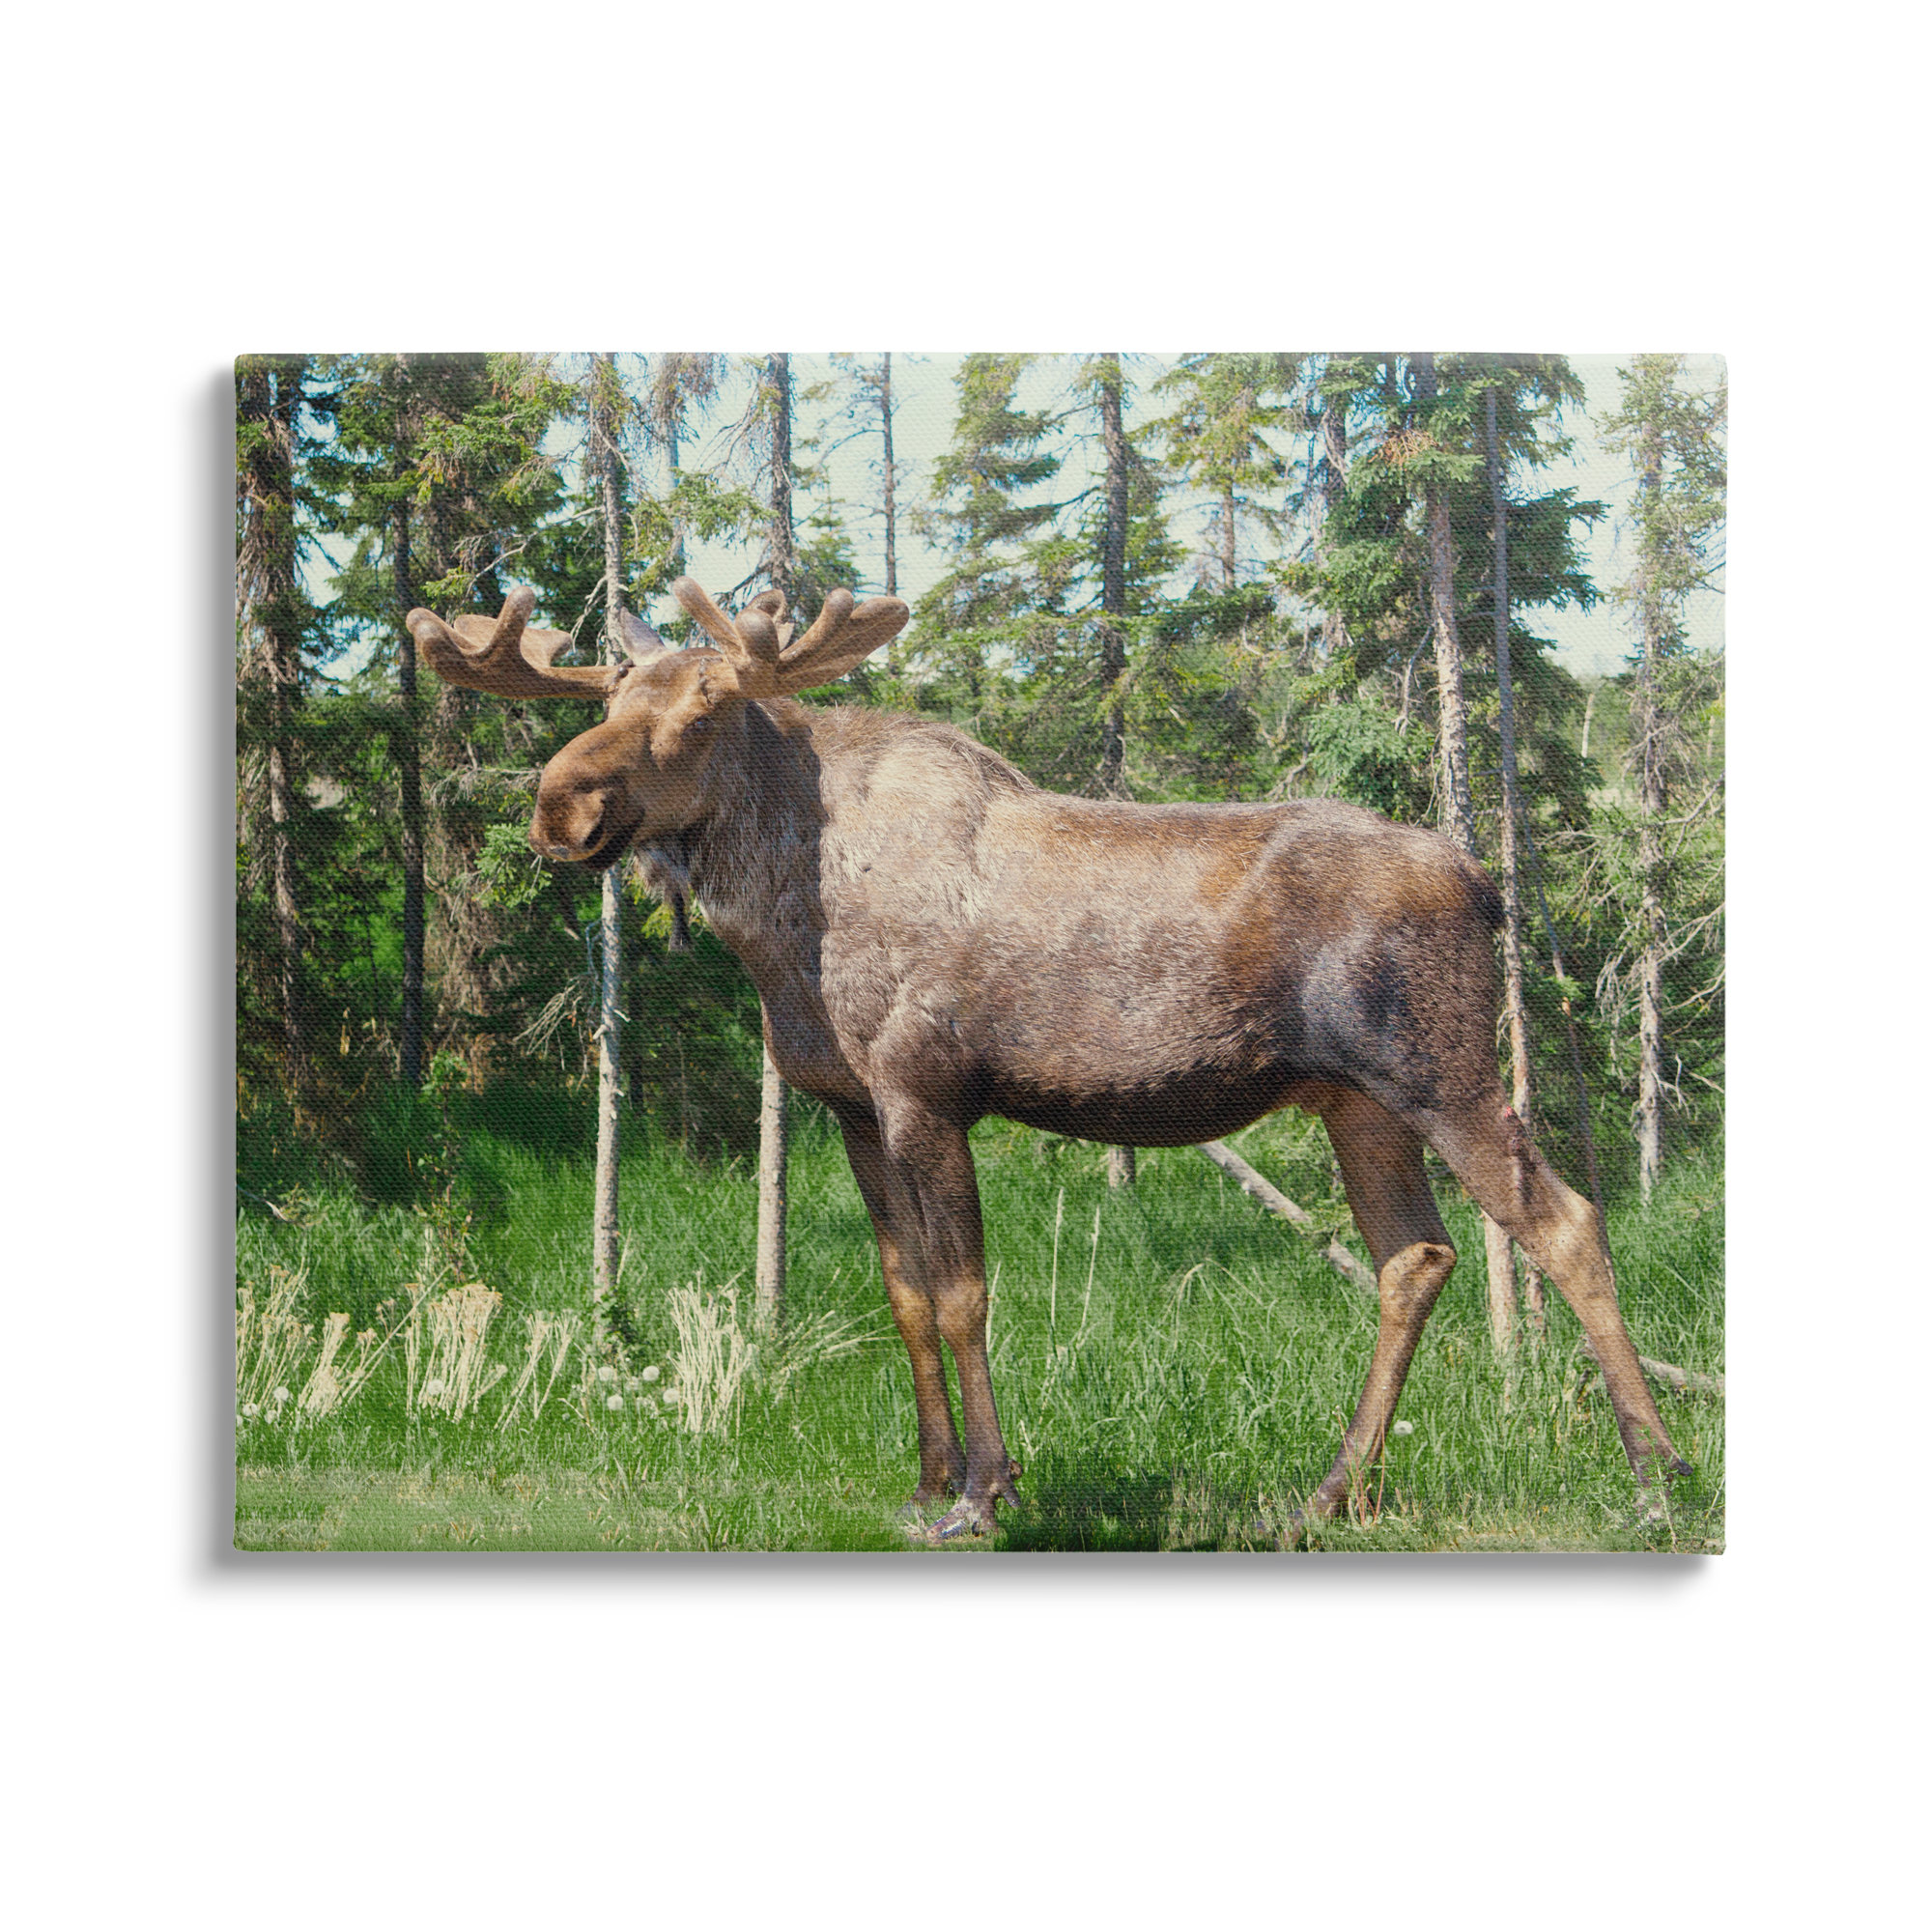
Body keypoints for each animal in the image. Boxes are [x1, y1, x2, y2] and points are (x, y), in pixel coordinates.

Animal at [408, 577, 1691, 1542]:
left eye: (714, 701)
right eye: (609, 689)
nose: (562, 805)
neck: (779, 931)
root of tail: (1489, 885)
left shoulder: (925, 1092)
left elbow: (963, 1294)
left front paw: (984, 1492)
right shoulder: (849, 1107)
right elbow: (903, 1294)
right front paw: (924, 1477)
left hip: (1441, 1071)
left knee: (1564, 1220)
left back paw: (1653, 1470)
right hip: (1353, 1101)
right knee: (1413, 1256)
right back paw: (1333, 1490)